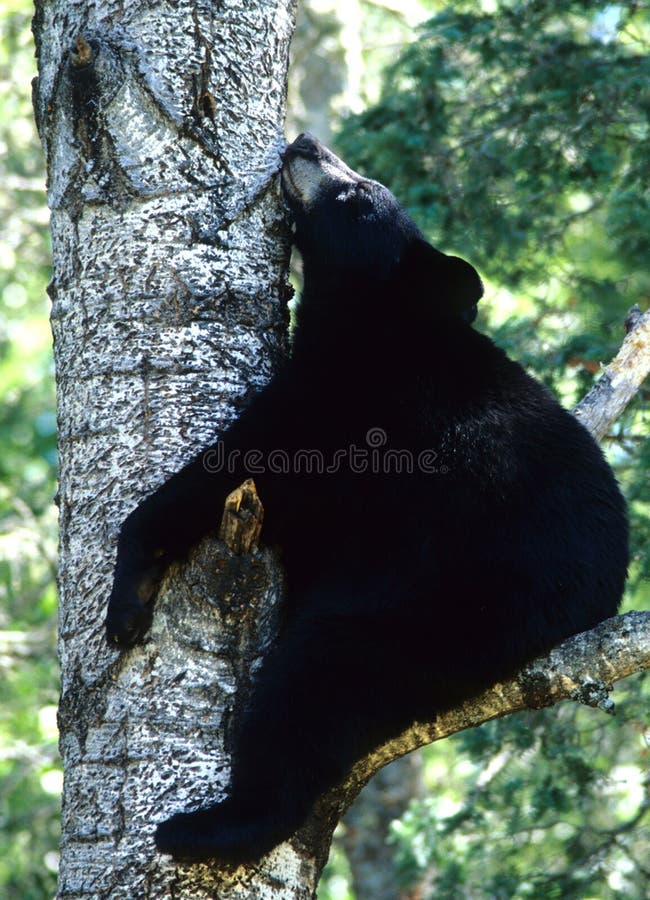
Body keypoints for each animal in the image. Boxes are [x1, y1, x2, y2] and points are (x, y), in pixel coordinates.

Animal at [106, 133, 629, 864]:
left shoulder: (341, 410)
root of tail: (599, 602)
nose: (304, 143)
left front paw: (125, 603)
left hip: (442, 604)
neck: (374, 328)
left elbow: (229, 471)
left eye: (357, 193)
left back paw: (210, 825)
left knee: (315, 687)